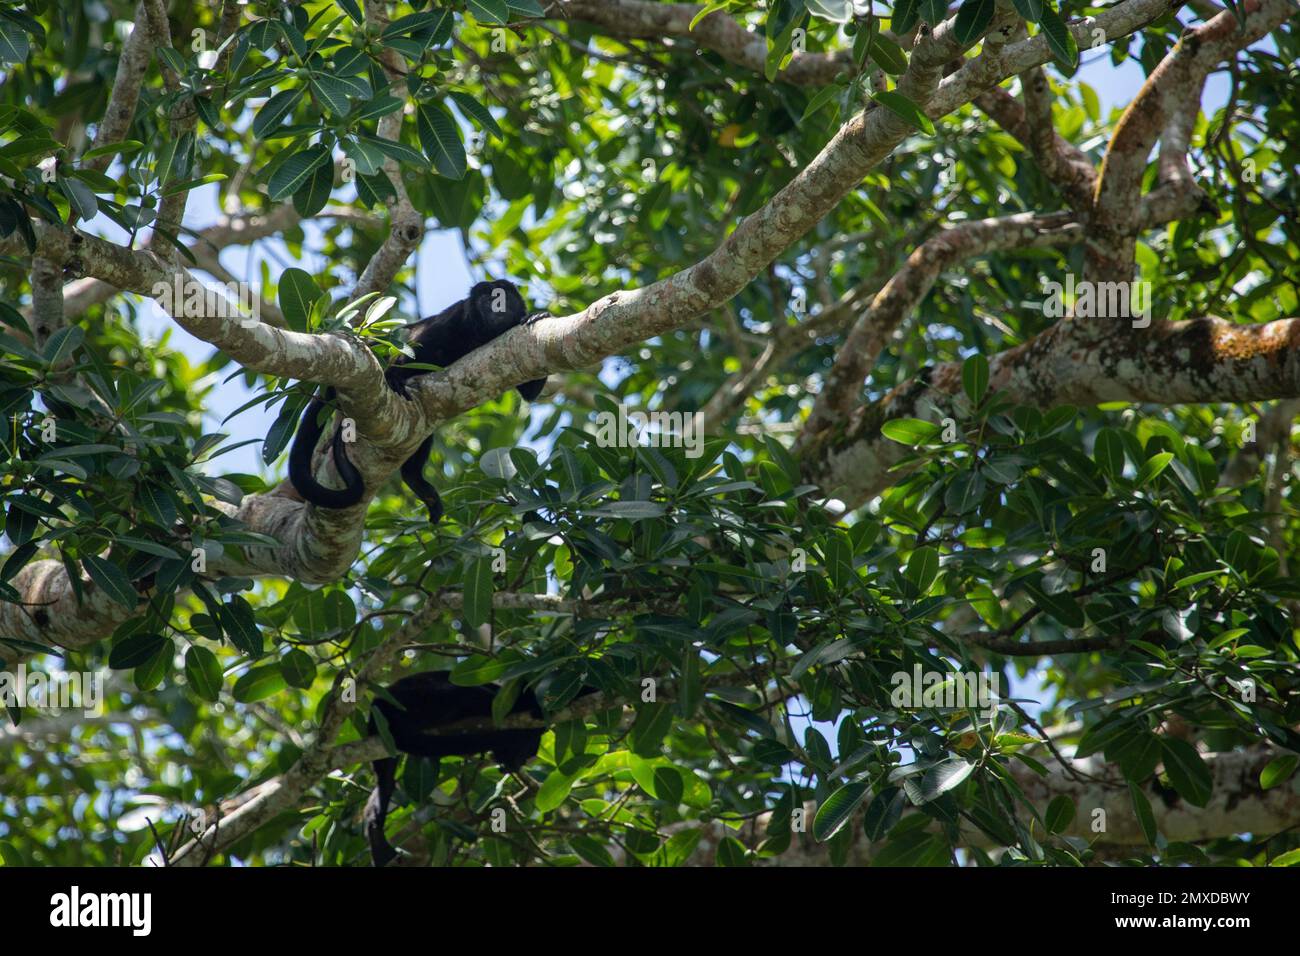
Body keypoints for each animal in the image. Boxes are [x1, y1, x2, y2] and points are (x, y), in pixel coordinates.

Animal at [287, 280, 548, 524]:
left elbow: (530, 392)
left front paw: (538, 315)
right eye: (487, 298)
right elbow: (414, 348)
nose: (495, 305)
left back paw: (417, 482)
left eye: (503, 296)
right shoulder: (454, 318)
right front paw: (394, 375)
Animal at [361, 670, 586, 867]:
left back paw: (377, 838)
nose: (520, 760)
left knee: (385, 782)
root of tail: (379, 706)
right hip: (418, 699)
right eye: (526, 753)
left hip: (385, 739)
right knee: (469, 696)